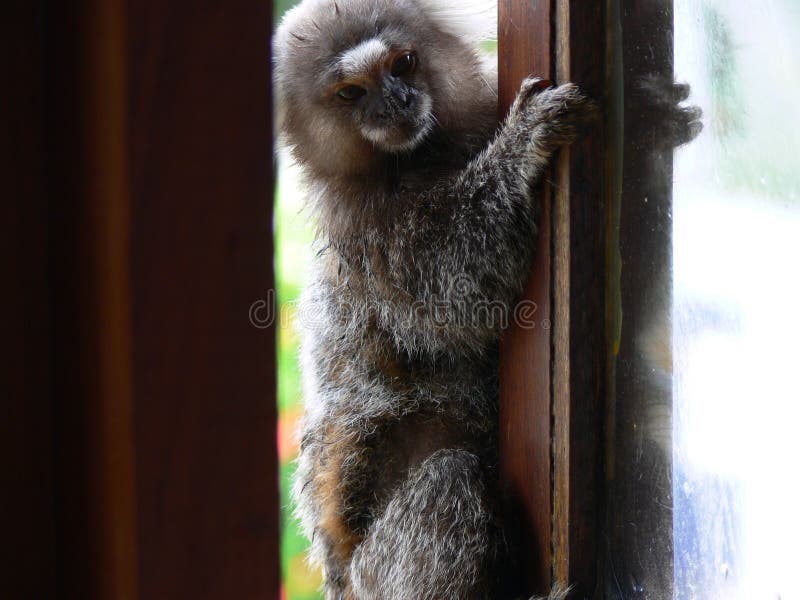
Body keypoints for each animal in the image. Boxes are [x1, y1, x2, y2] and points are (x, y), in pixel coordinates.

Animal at [273, 0, 700, 598]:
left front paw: (647, 131)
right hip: (379, 573)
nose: (396, 103)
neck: (419, 162)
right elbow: (466, 288)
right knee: (449, 481)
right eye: (351, 92)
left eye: (403, 64)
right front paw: (522, 140)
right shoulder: (373, 239)